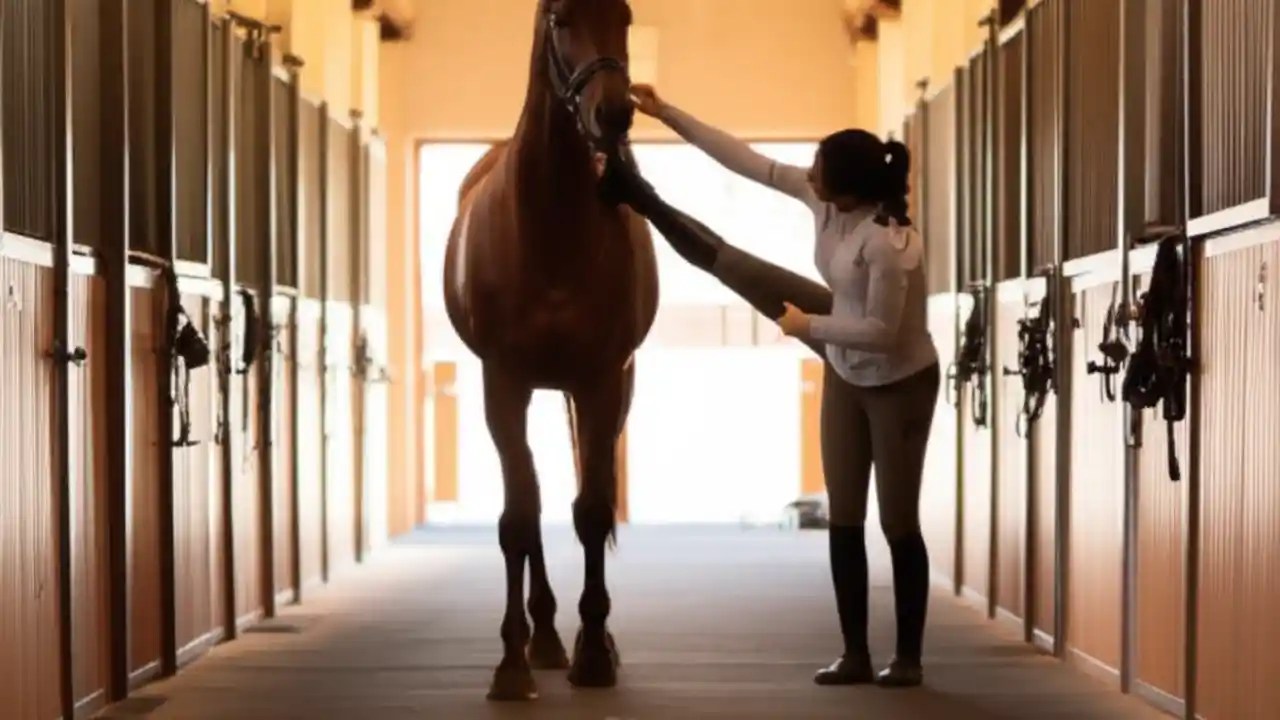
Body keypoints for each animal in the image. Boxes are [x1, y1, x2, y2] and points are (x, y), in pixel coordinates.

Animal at [441, 0, 658, 702]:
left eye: (625, 15)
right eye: (561, 18)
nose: (612, 112)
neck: (552, 227)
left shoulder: (600, 381)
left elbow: (591, 510)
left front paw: (595, 652)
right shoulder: (503, 383)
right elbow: (518, 517)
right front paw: (512, 662)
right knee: (531, 495)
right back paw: (541, 639)